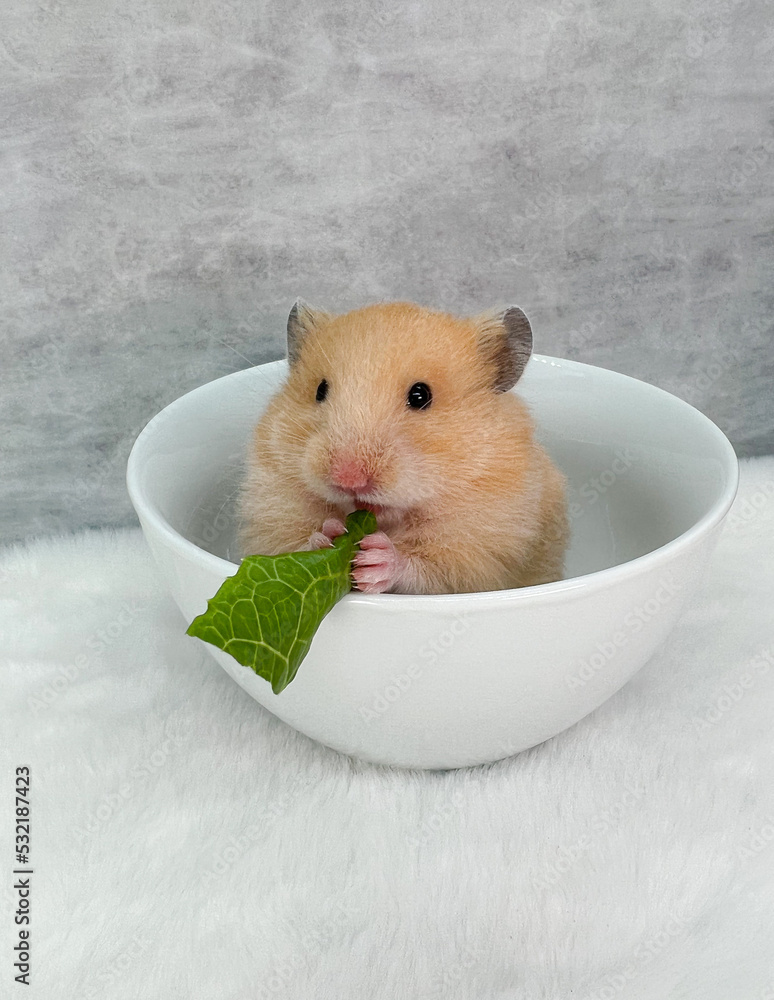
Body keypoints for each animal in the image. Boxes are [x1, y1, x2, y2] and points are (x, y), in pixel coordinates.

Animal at [237, 300, 569, 595]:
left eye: (420, 396)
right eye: (320, 390)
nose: (348, 479)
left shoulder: (479, 557)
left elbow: (430, 571)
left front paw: (376, 560)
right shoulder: (272, 512)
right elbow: (284, 547)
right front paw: (327, 536)